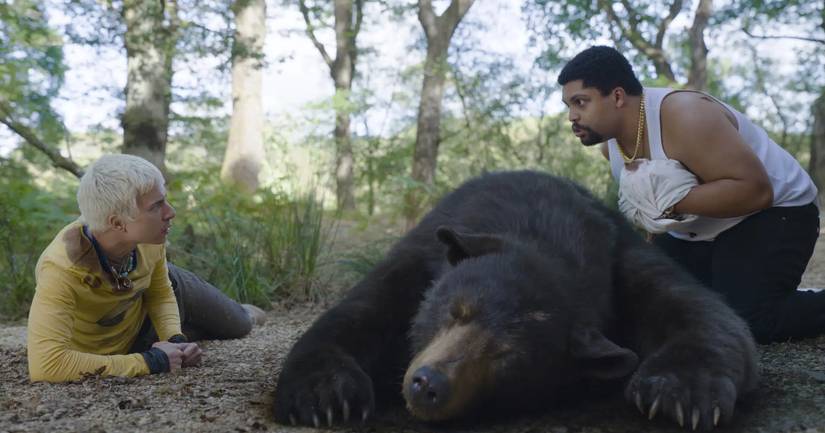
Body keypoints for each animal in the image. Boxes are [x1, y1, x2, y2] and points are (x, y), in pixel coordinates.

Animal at [272, 170, 758, 430]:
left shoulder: (622, 256)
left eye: (506, 355)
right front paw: (328, 394)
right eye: (456, 311)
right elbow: (358, 314)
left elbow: (704, 313)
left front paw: (679, 392)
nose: (429, 384)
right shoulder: (421, 255)